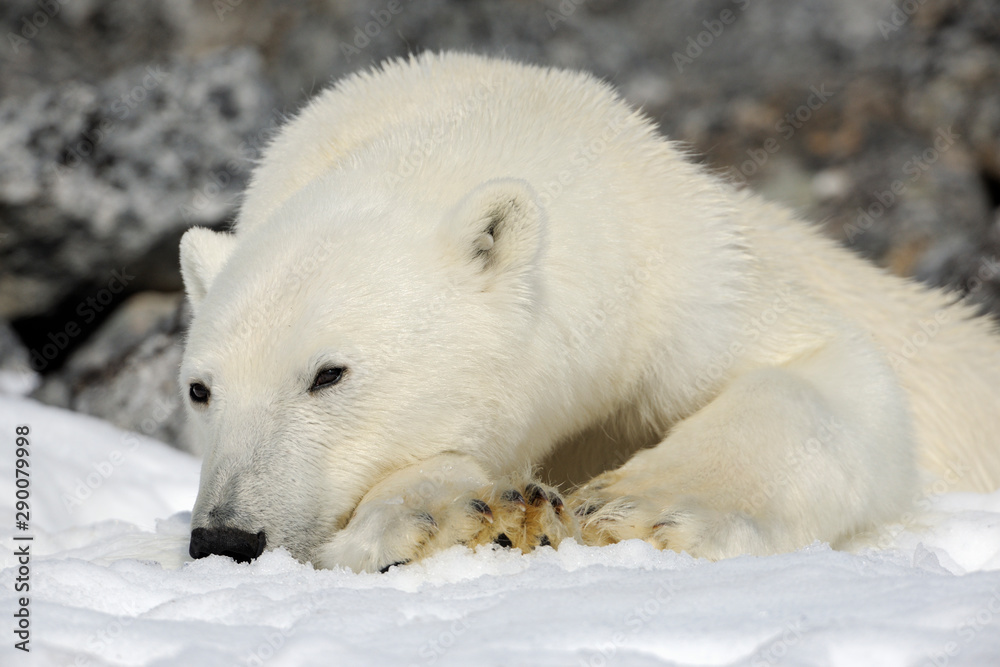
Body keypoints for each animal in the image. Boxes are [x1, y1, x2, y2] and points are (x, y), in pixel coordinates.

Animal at [179, 52, 1000, 573]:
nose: (226, 537)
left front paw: (636, 507)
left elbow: (839, 376)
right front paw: (464, 511)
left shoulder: (685, 285)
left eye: (329, 373)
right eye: (200, 389)